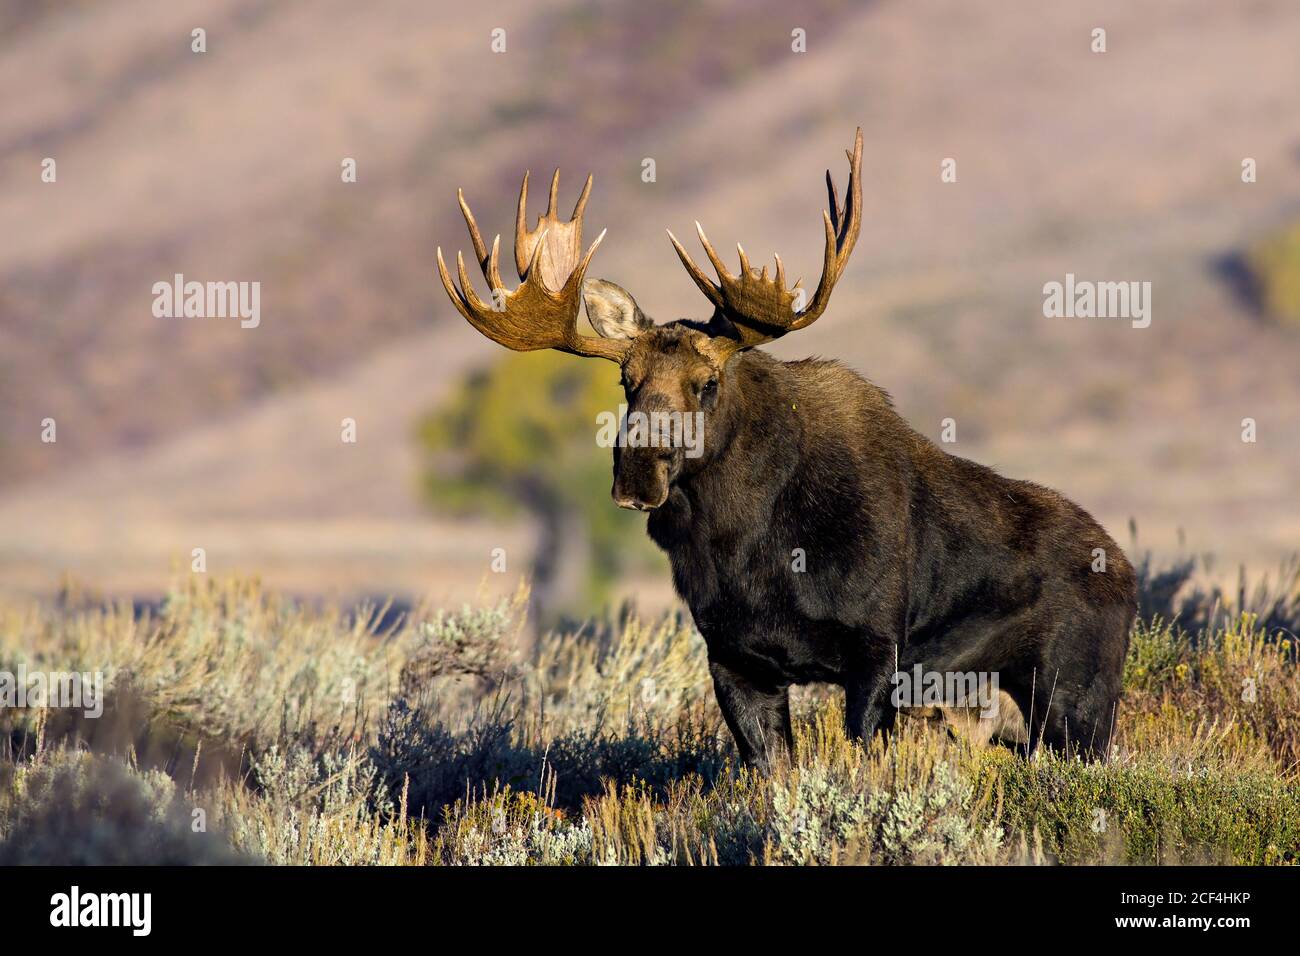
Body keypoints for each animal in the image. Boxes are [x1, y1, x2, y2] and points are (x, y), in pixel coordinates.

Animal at [438, 129, 1137, 770]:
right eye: (625, 381)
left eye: (707, 383)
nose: (637, 475)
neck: (746, 542)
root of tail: (1126, 568)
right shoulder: (735, 659)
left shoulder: (875, 649)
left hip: (1076, 695)